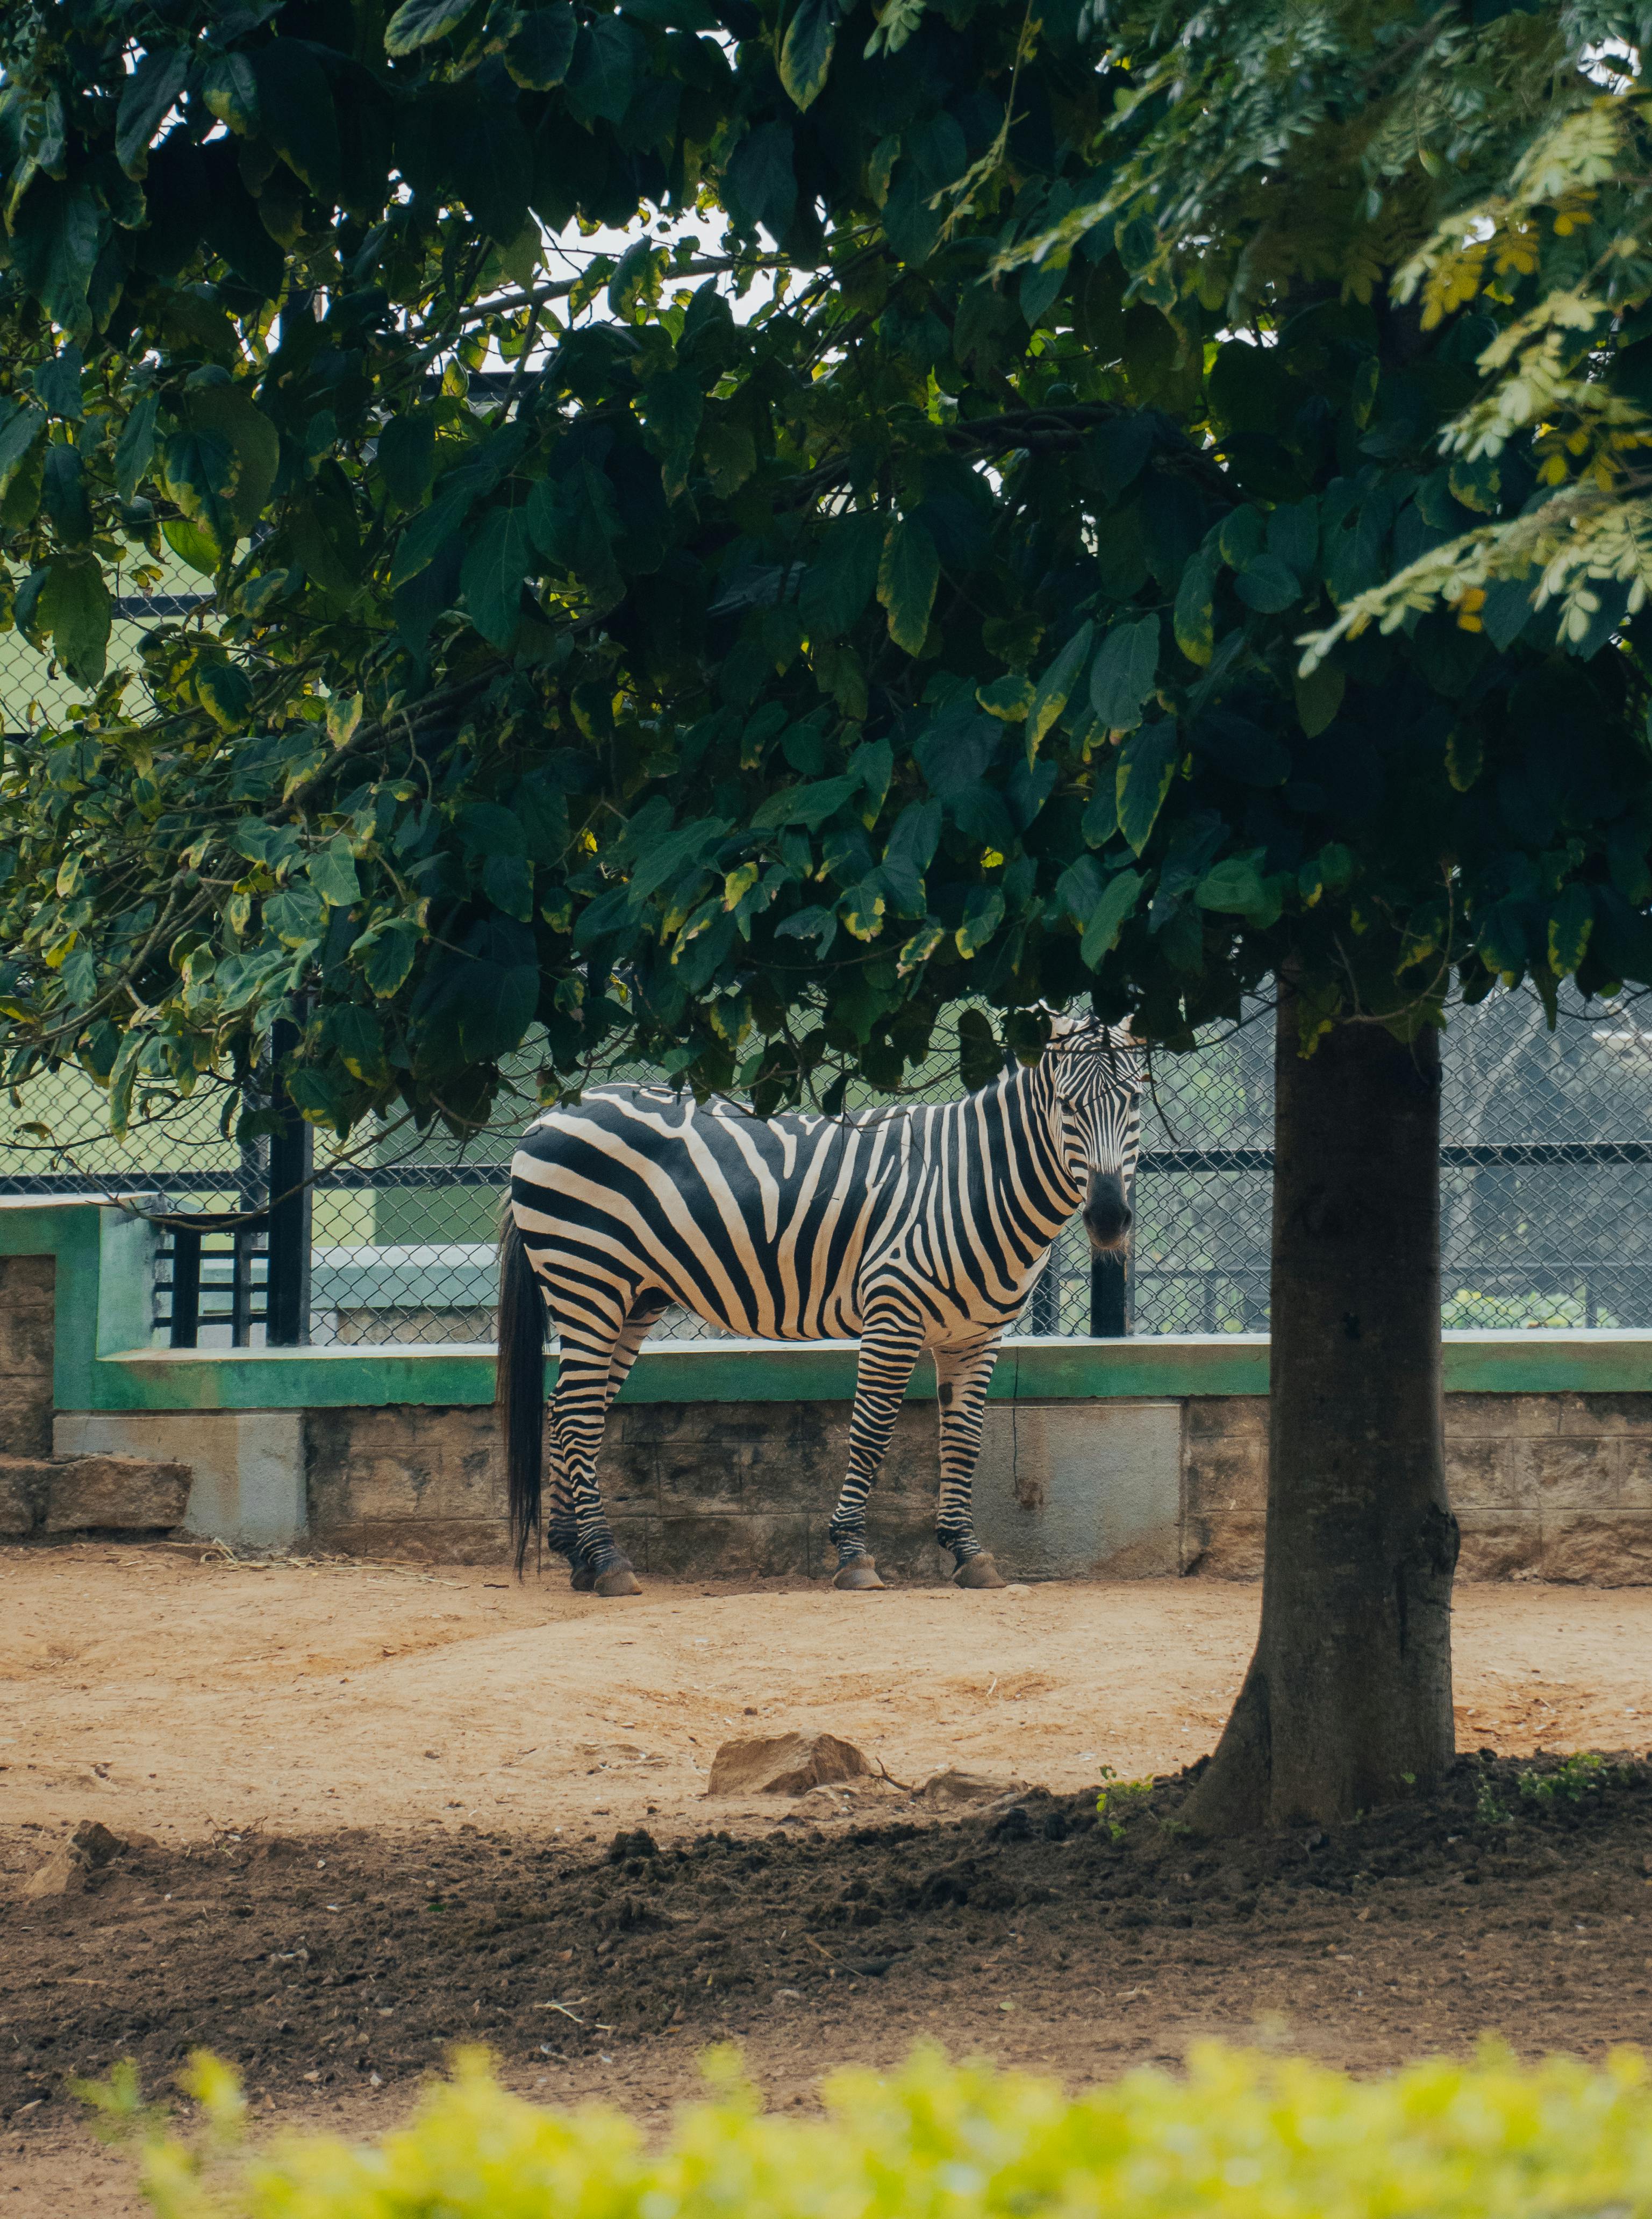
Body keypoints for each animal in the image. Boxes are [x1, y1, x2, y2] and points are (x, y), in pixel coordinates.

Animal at [496, 1013, 1143, 1596]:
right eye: (1067, 1105)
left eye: (1134, 1099)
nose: (1109, 1217)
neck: (973, 1179)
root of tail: (554, 1110)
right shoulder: (893, 1310)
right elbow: (872, 1430)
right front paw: (853, 1554)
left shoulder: (975, 1334)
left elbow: (964, 1440)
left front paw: (968, 1553)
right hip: (587, 1275)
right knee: (577, 1412)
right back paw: (607, 1560)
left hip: (632, 1296)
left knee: (568, 1406)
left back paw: (578, 1555)